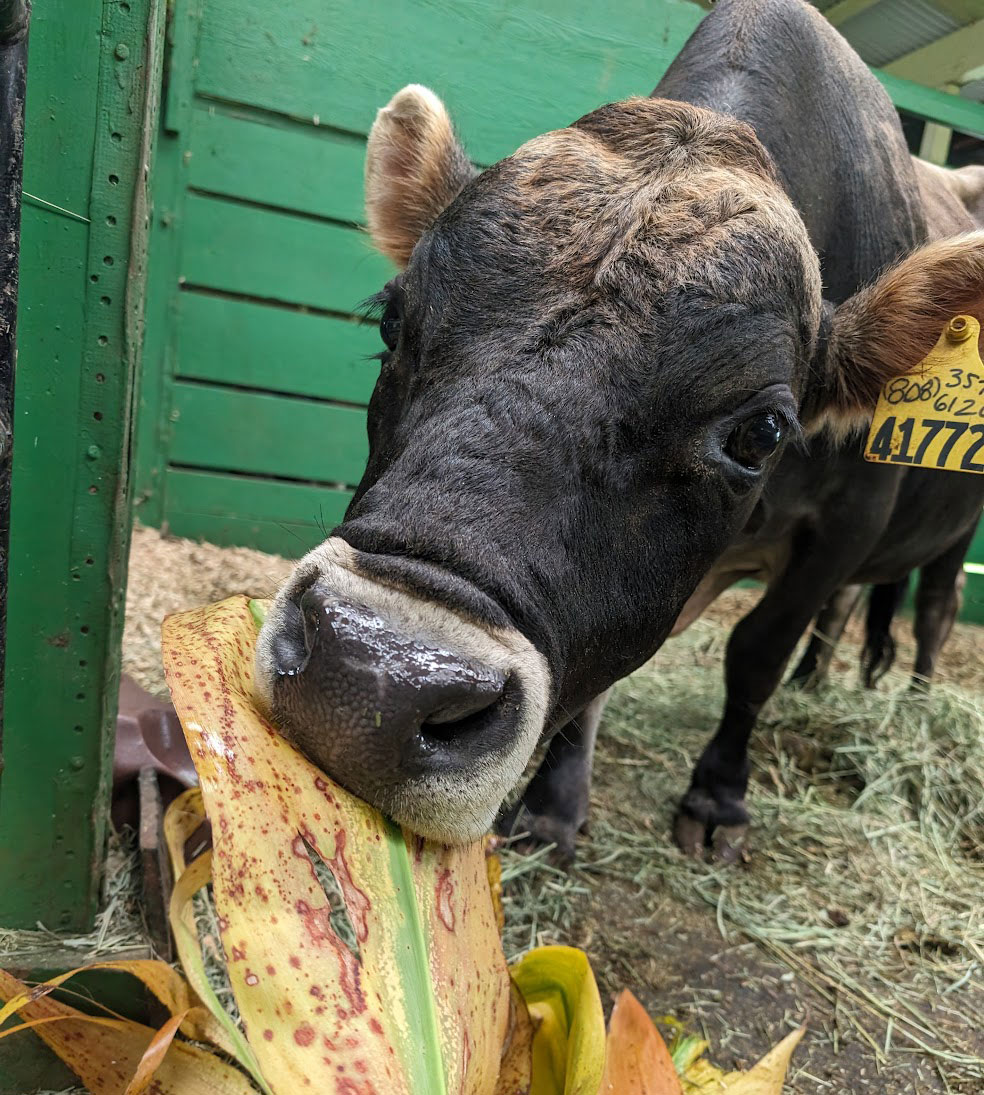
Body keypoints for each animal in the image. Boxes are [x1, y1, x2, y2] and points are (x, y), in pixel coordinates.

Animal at [254, 0, 984, 864]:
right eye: (393, 319)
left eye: (761, 432)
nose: (373, 676)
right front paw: (554, 804)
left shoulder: (846, 523)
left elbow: (756, 651)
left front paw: (718, 796)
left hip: (956, 532)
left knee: (933, 606)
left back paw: (914, 696)